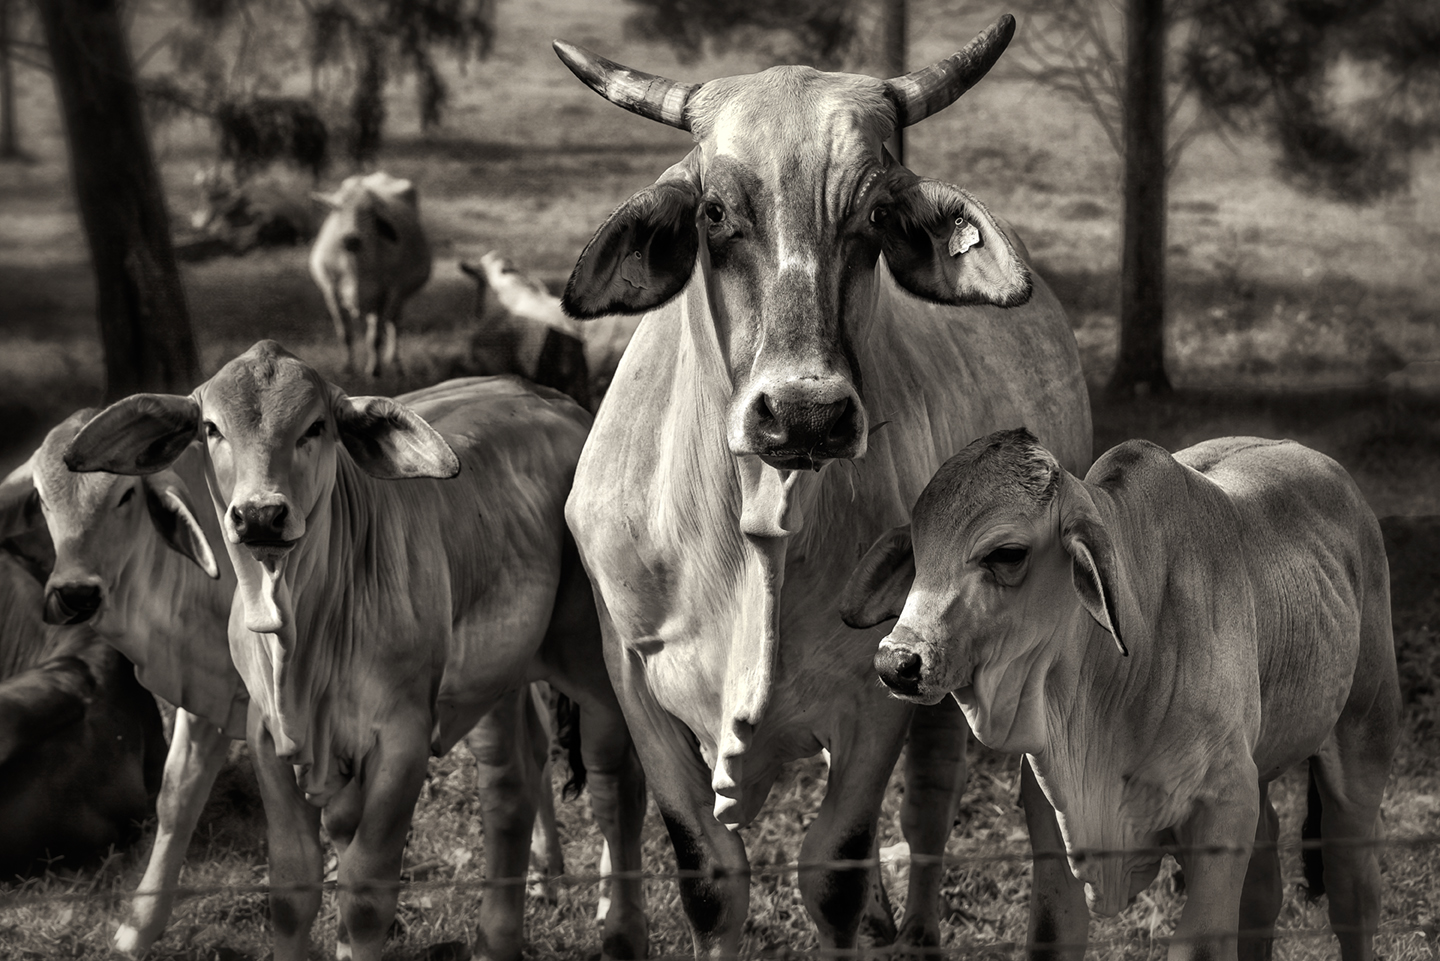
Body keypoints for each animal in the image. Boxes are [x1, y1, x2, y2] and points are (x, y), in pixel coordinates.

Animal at [63, 342, 647, 961]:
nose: (260, 514)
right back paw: (498, 938)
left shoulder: (403, 739)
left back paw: (621, 931)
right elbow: (291, 890)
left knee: (616, 785)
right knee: (510, 784)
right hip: (495, 679)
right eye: (211, 428)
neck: (301, 642)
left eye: (315, 426)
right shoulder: (266, 735)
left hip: (593, 667)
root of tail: (561, 403)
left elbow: (366, 897)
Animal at [309, 172, 433, 378]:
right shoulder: (331, 291)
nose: (350, 238)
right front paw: (347, 368)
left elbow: (375, 337)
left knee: (394, 325)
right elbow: (345, 334)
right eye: (338, 208)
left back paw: (396, 364)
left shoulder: (387, 293)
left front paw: (374, 371)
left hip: (400, 295)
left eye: (371, 212)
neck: (355, 267)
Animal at [553, 15, 1092, 956]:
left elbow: (834, 873)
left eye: (874, 212)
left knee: (947, 801)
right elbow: (710, 878)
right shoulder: (636, 680)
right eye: (715, 210)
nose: (803, 414)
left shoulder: (876, 692)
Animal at [844, 429, 1400, 961]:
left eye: (1007, 554)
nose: (897, 663)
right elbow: (1051, 937)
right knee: (1265, 890)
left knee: (1353, 889)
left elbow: (1202, 943)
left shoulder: (1223, 807)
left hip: (1362, 744)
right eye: (918, 553)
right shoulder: (1054, 813)